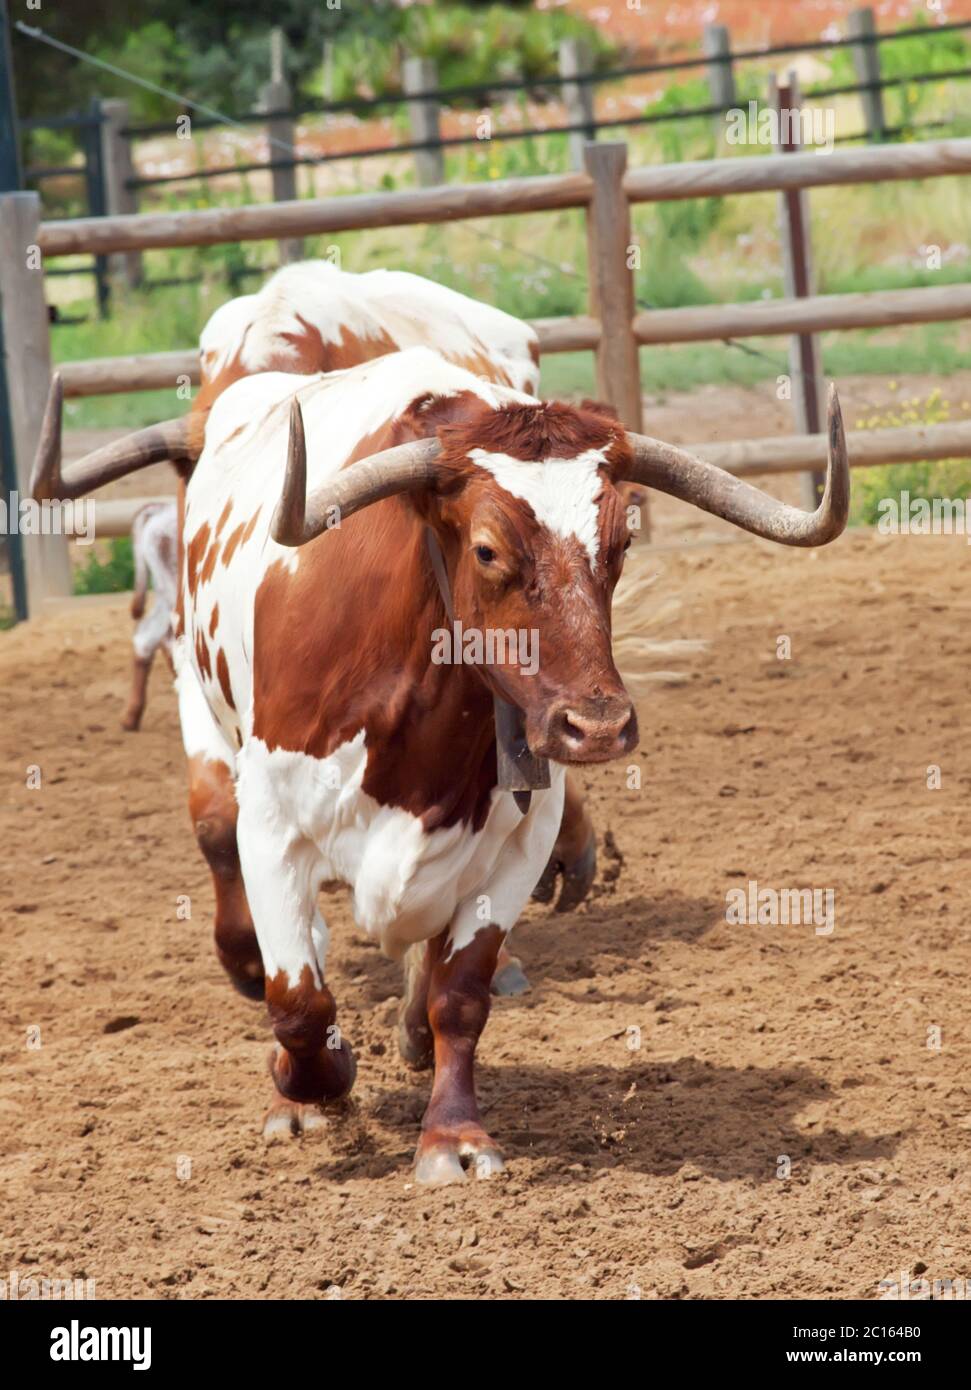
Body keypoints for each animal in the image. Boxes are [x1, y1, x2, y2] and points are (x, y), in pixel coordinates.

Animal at [34, 330, 849, 1184]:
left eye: (620, 542)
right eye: (487, 549)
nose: (597, 726)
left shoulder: (517, 839)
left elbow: (459, 995)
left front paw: (452, 1133)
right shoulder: (273, 828)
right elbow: (300, 1001)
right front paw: (309, 1083)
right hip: (199, 703)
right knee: (221, 841)